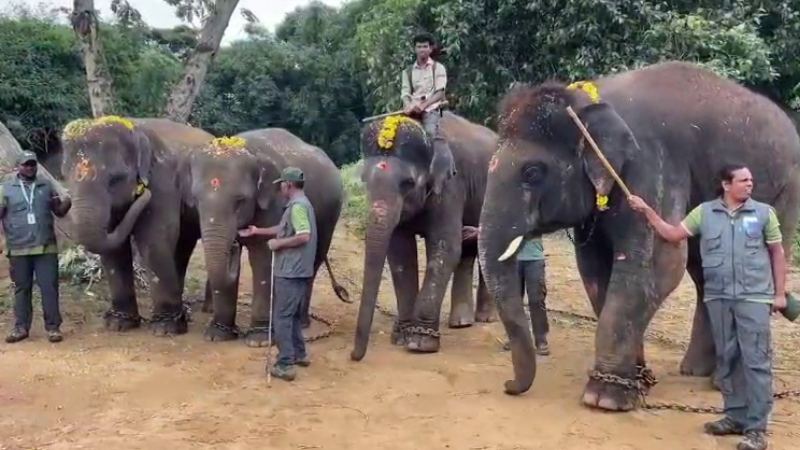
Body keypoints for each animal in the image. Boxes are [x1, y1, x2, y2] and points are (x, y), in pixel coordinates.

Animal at [61, 116, 213, 335]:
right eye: (65, 176)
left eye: (116, 179)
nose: (142, 192)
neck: (135, 128)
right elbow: (114, 250)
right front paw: (118, 324)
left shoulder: (163, 183)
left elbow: (154, 241)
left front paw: (165, 328)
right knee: (184, 244)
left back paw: (205, 310)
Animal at [179, 129, 351, 347]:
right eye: (196, 200)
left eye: (239, 201)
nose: (235, 242)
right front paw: (217, 335)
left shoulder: (273, 203)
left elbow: (263, 258)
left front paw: (259, 340)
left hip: (330, 215)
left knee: (313, 262)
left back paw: (301, 323)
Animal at [350, 111, 498, 361]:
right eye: (365, 182)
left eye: (408, 183)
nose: (354, 355)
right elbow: (400, 252)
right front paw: (401, 337)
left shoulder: (450, 186)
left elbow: (445, 246)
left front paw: (421, 342)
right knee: (468, 249)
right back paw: (461, 322)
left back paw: (487, 319)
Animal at [477, 60, 800, 411]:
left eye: (532, 173)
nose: (509, 385)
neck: (589, 101)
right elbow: (594, 270)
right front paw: (636, 380)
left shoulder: (651, 164)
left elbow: (657, 264)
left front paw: (603, 398)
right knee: (706, 271)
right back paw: (696, 371)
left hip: (784, 193)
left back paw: (723, 382)